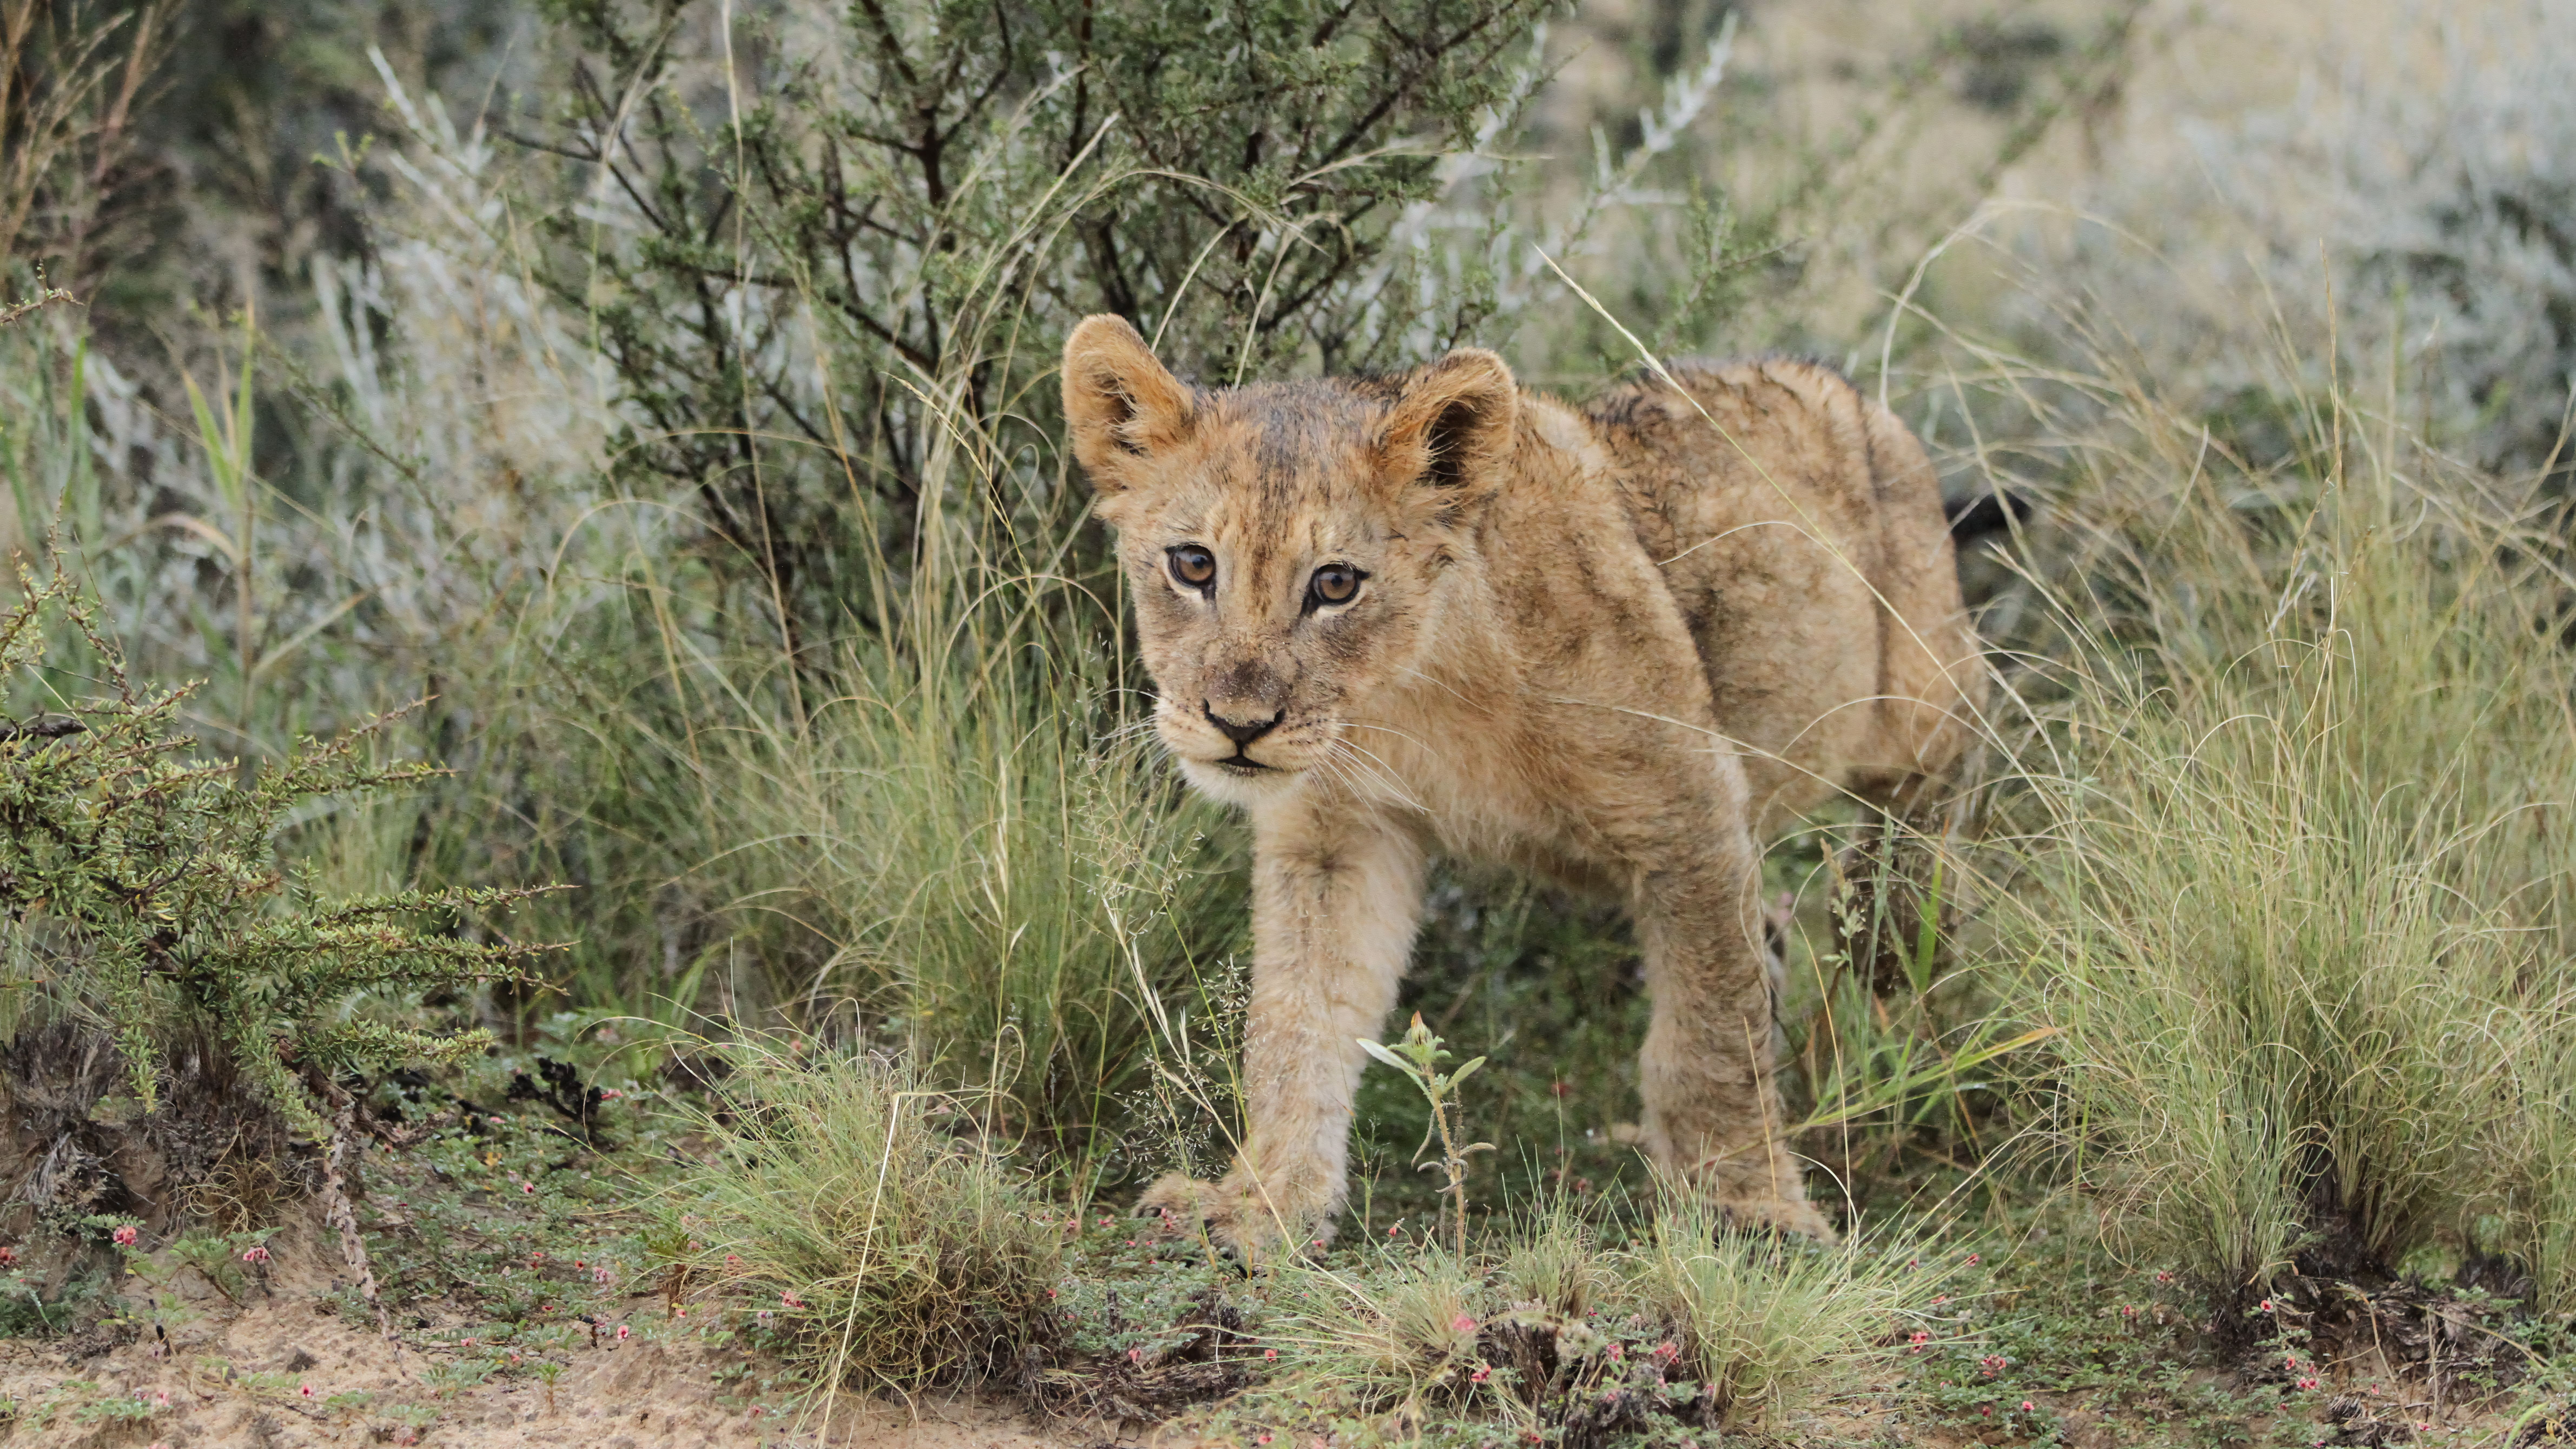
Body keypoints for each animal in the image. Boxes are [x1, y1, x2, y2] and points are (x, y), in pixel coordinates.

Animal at [1060, 315, 1983, 1256]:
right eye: (1192, 565)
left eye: (1335, 583)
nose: (1238, 723)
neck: (1415, 691)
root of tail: (1859, 400)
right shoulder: (1336, 836)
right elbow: (1295, 1019)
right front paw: (1266, 1202)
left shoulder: (1689, 807)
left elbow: (1712, 1032)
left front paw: (1750, 1207)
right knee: (1767, 929)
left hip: (1923, 706)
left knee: (1923, 823)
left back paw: (1895, 965)